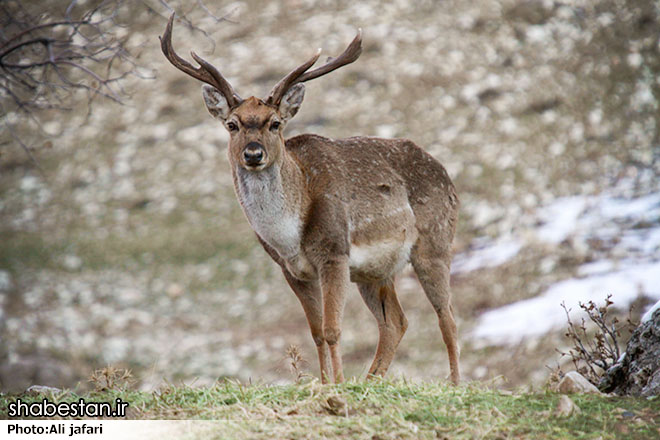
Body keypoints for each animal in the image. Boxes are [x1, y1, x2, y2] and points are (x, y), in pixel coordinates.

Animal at [160, 13, 460, 384]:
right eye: (232, 124)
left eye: (275, 123)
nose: (253, 153)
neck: (290, 234)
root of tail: (446, 176)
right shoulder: (292, 270)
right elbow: (316, 332)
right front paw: (325, 383)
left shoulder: (334, 253)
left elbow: (332, 330)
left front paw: (339, 384)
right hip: (375, 271)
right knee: (396, 322)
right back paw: (371, 380)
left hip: (435, 243)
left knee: (447, 316)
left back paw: (456, 383)